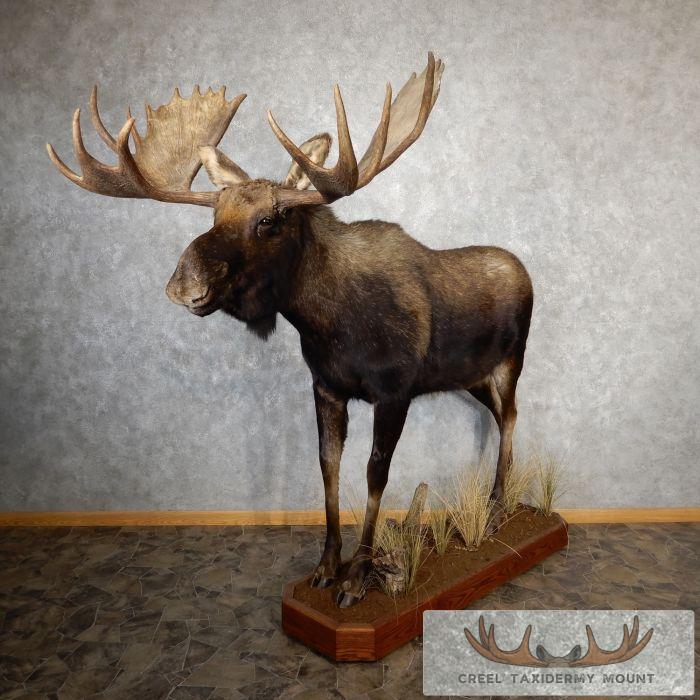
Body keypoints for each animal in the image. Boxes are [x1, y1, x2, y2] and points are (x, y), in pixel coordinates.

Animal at [46, 53, 533, 607]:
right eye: (215, 213)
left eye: (270, 219)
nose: (183, 282)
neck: (330, 323)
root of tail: (525, 271)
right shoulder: (325, 386)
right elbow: (327, 468)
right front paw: (325, 567)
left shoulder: (394, 392)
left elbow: (376, 474)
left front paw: (356, 577)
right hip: (471, 377)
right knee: (498, 416)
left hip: (510, 362)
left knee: (511, 416)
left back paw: (498, 509)